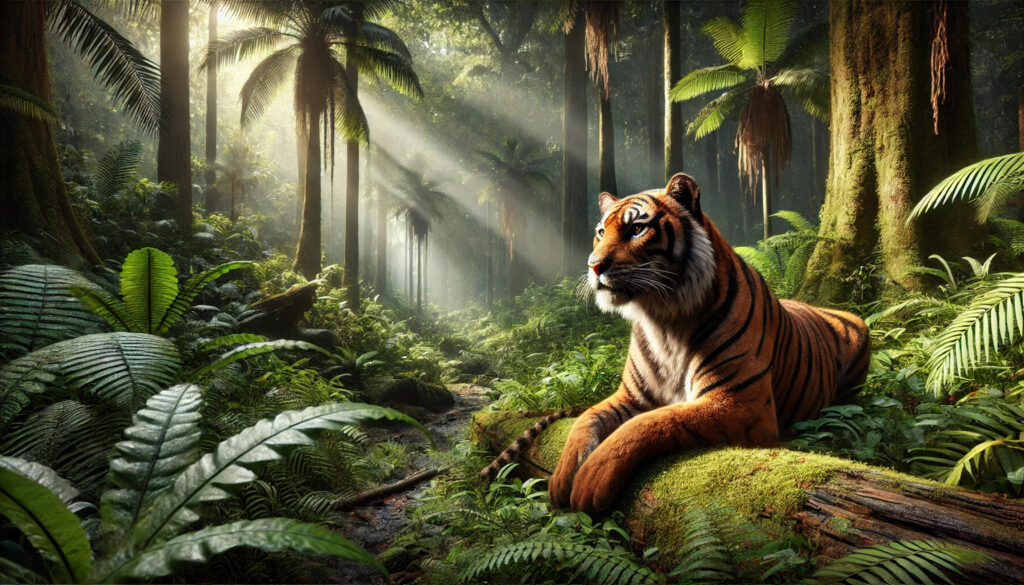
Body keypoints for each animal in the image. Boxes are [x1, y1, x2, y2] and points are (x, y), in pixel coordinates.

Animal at [480, 173, 870, 515]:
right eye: (601, 233)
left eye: (637, 229)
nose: (593, 266)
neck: (662, 320)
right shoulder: (629, 396)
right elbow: (585, 420)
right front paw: (562, 479)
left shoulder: (739, 403)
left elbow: (650, 424)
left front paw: (591, 480)